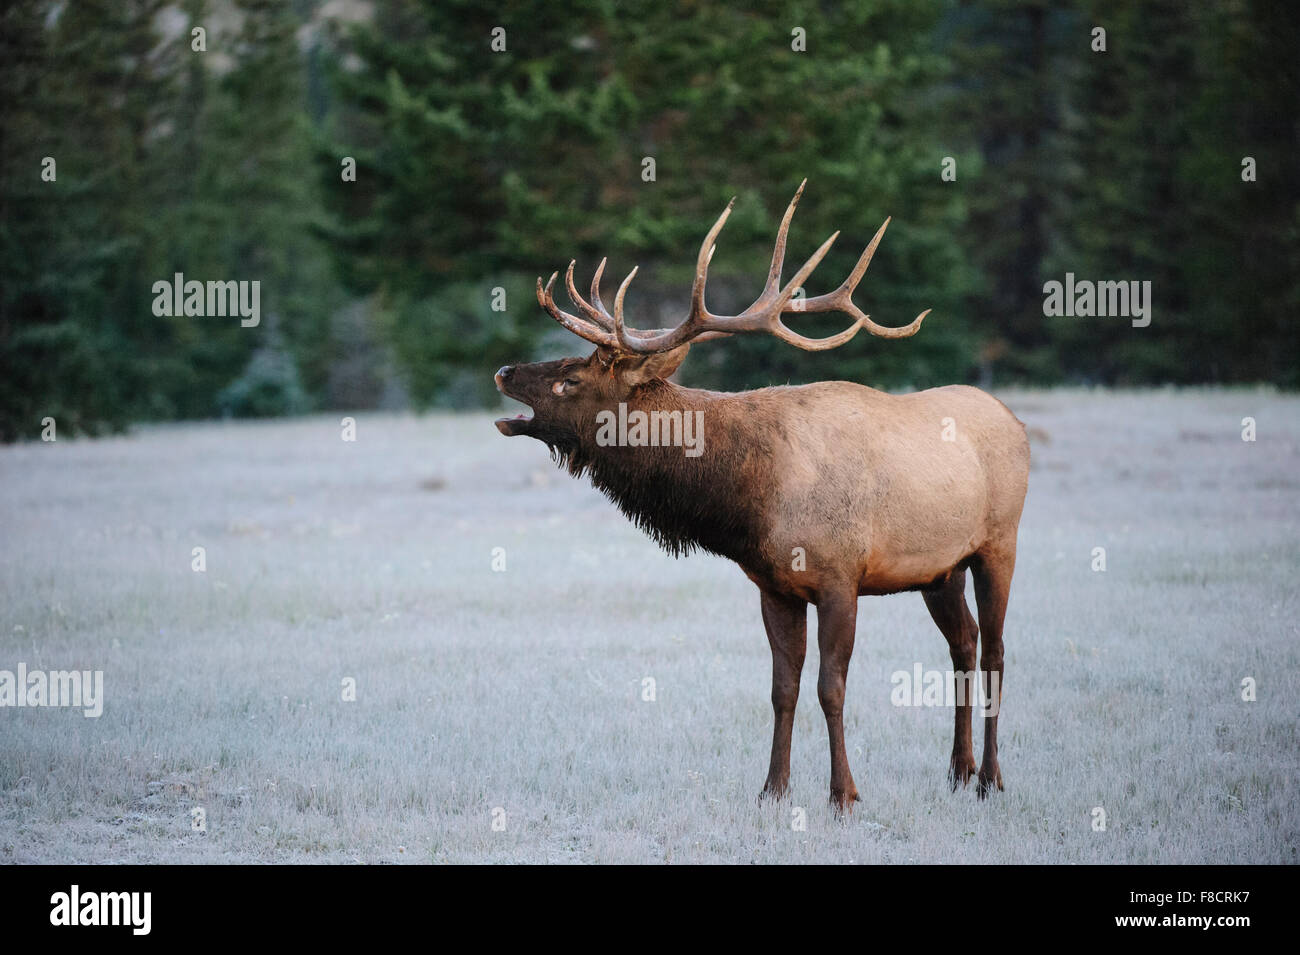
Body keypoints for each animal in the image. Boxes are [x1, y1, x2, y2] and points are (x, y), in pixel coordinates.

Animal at [494, 181, 1029, 809]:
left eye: (569, 380)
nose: (505, 371)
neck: (752, 498)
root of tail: (1012, 419)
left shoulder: (840, 575)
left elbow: (830, 687)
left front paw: (843, 794)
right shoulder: (773, 585)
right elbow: (782, 689)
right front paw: (773, 789)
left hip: (998, 544)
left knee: (995, 651)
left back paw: (991, 777)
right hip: (940, 568)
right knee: (963, 644)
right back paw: (958, 770)